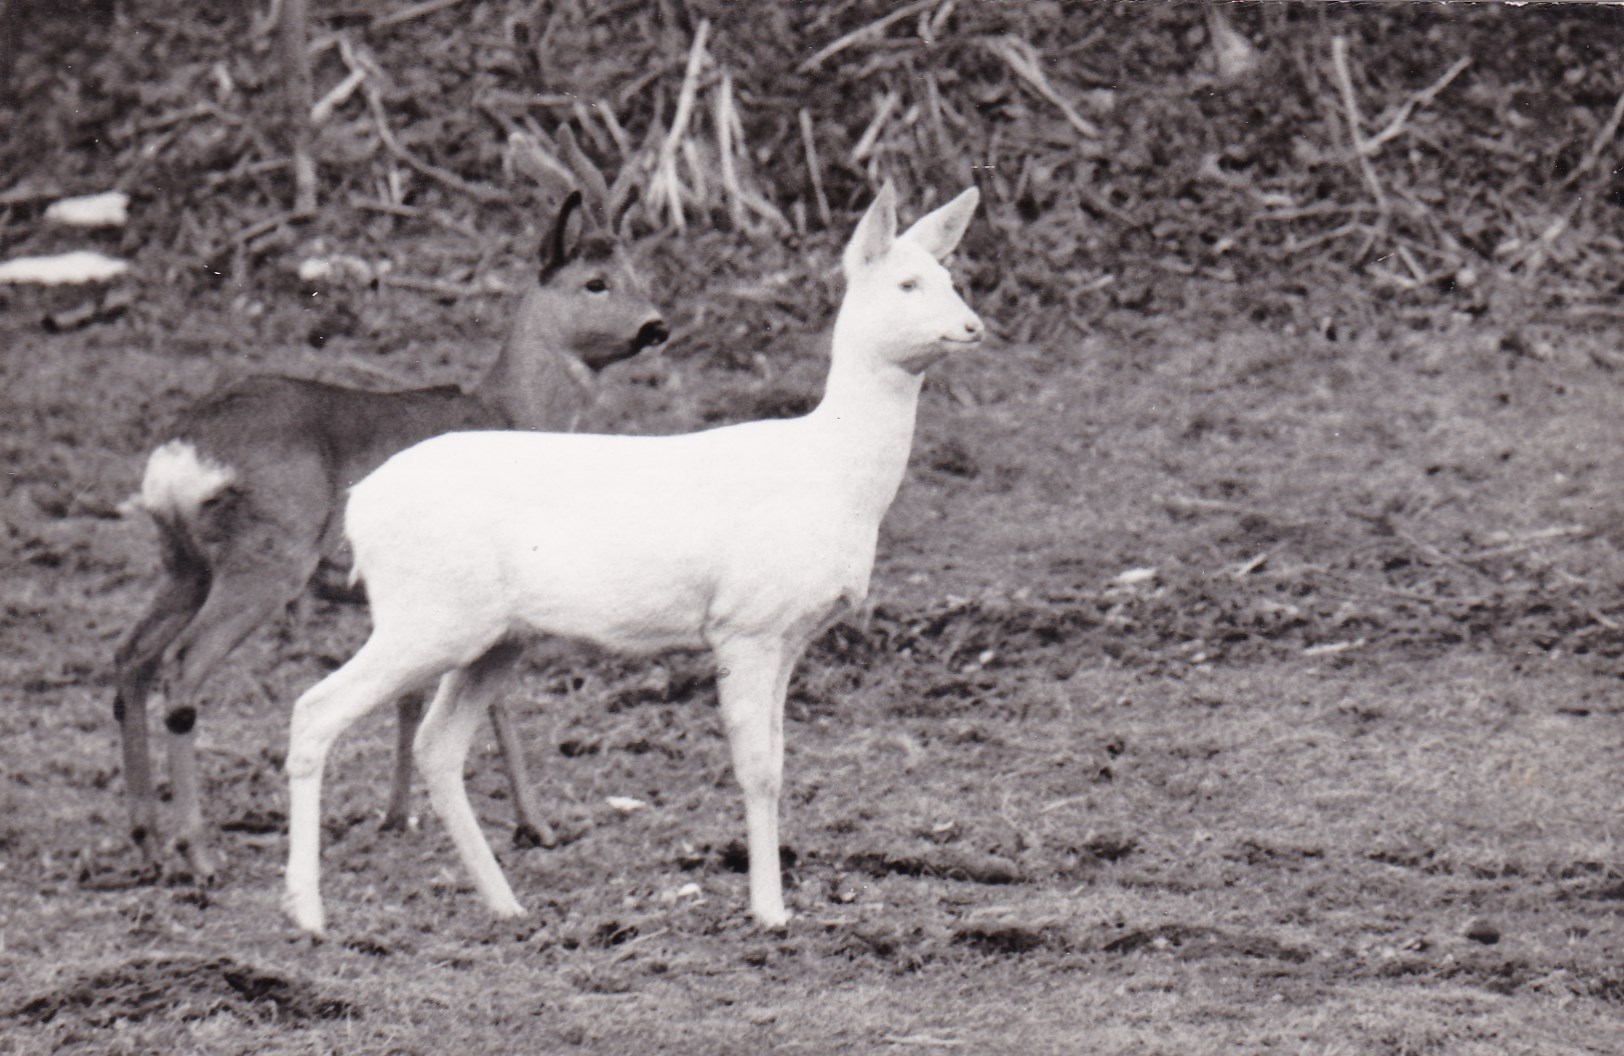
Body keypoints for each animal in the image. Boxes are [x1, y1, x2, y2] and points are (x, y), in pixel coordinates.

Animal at [113, 131, 669, 883]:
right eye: (596, 283)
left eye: (636, 271)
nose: (656, 326)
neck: (512, 414)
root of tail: (180, 455)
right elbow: (495, 703)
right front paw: (537, 825)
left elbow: (408, 696)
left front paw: (396, 814)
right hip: (266, 556)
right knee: (183, 668)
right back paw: (198, 852)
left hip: (182, 563)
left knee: (130, 660)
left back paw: (147, 840)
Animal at [280, 182, 983, 936]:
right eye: (907, 283)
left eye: (950, 277)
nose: (972, 327)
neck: (835, 476)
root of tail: (361, 505)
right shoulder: (746, 622)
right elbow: (756, 768)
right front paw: (769, 912)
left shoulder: (792, 634)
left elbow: (778, 760)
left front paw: (776, 902)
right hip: (427, 614)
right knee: (315, 710)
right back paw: (308, 912)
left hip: (492, 635)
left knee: (437, 746)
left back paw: (505, 904)